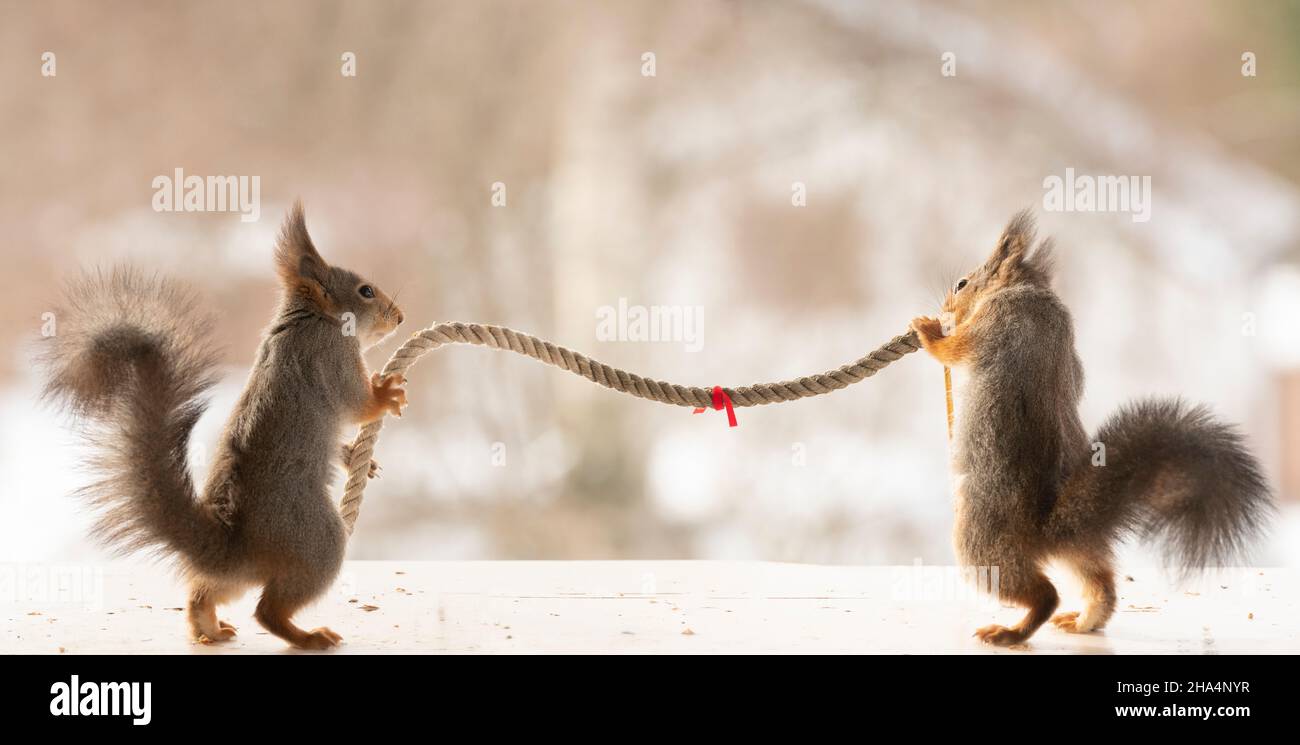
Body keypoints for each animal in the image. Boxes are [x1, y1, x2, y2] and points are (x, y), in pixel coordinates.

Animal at [41, 202, 408, 649]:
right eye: (365, 291)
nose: (400, 317)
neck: (315, 319)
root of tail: (238, 546)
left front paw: (358, 458)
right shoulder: (331, 358)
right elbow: (359, 406)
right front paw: (386, 394)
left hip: (239, 576)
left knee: (207, 591)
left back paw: (209, 628)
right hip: (316, 542)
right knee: (267, 611)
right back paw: (307, 637)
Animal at [910, 210, 1272, 647]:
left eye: (962, 284)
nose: (945, 305)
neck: (1030, 291)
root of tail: (1048, 529)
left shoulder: (999, 321)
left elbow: (955, 349)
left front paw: (927, 329)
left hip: (980, 545)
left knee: (1043, 594)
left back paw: (1011, 632)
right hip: (1078, 551)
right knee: (1100, 582)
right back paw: (1083, 621)